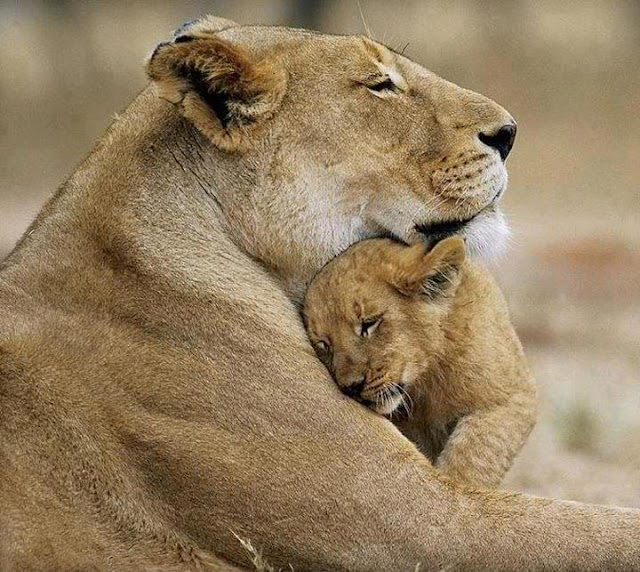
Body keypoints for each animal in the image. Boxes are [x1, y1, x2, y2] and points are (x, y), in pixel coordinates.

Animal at [303, 236, 537, 488]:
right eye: (324, 344)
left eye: (369, 323)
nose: (351, 387)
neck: (425, 379)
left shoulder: (512, 397)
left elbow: (474, 455)